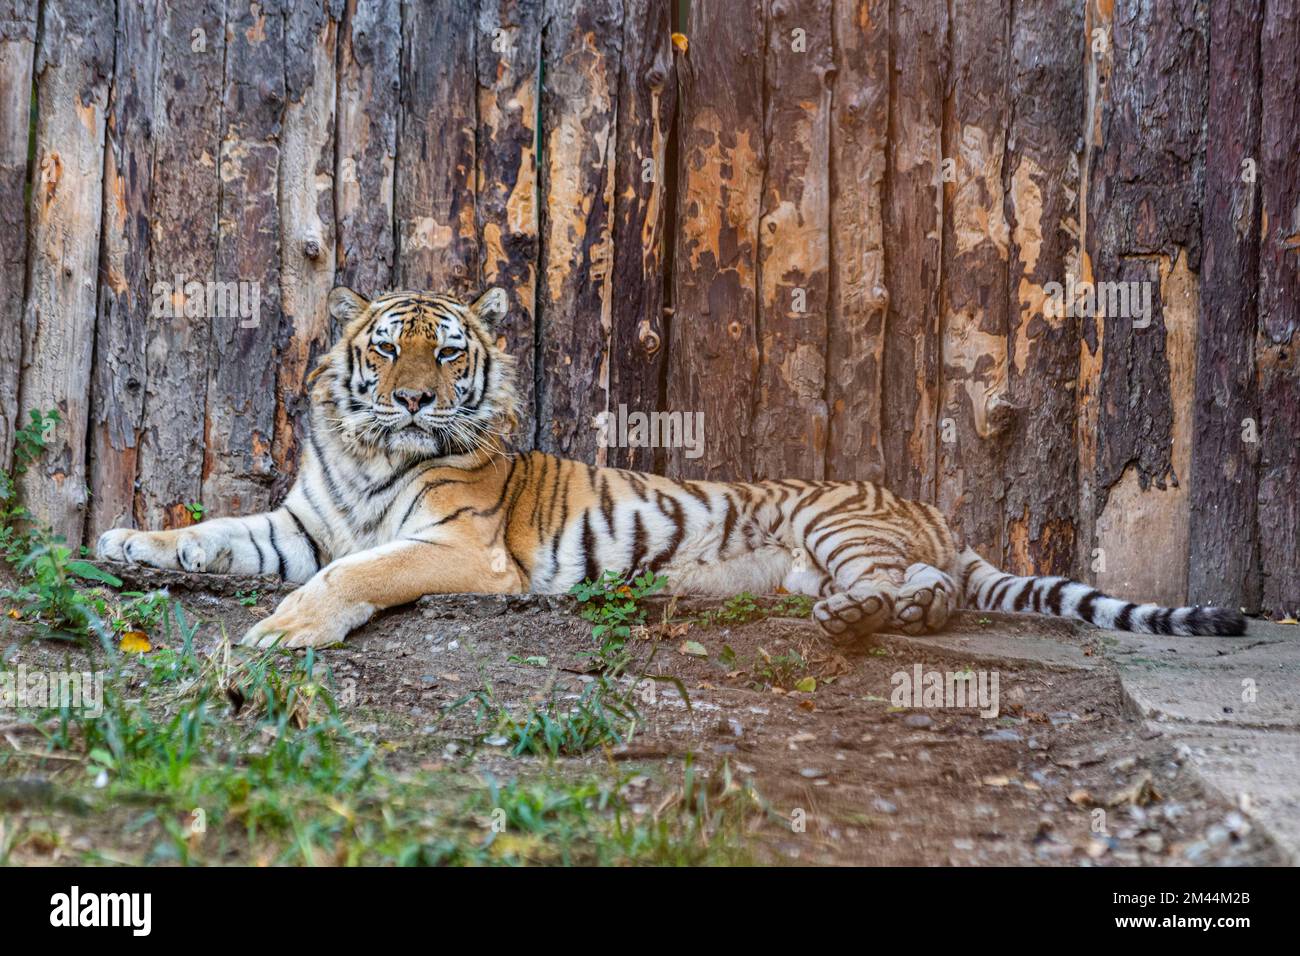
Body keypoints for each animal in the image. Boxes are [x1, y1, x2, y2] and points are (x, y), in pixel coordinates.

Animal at [95, 285, 1247, 649]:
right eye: (385, 349)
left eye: (450, 352)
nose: (416, 397)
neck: (373, 453)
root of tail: (935, 517)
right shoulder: (302, 523)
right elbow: (212, 530)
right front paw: (125, 541)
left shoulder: (461, 549)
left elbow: (358, 571)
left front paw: (286, 630)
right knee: (928, 594)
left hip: (839, 524)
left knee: (922, 589)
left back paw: (855, 620)